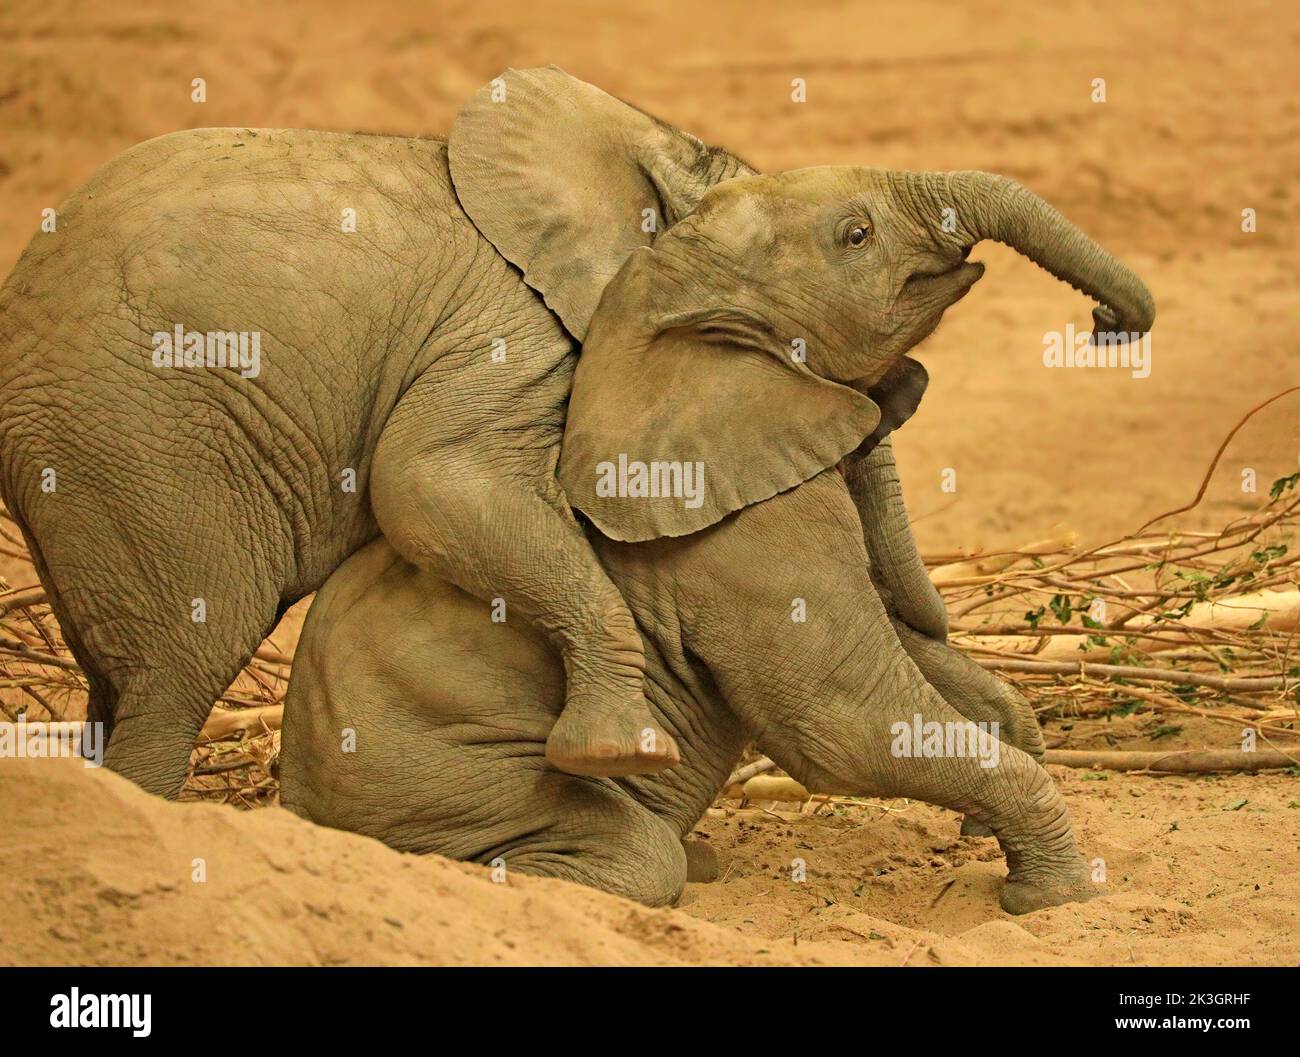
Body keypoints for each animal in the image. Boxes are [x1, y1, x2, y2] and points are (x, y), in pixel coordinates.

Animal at [0, 66, 1153, 800]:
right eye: (856, 235)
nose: (1110, 324)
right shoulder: (520, 339)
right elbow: (429, 486)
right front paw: (616, 757)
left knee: (119, 676)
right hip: (140, 443)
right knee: (179, 666)